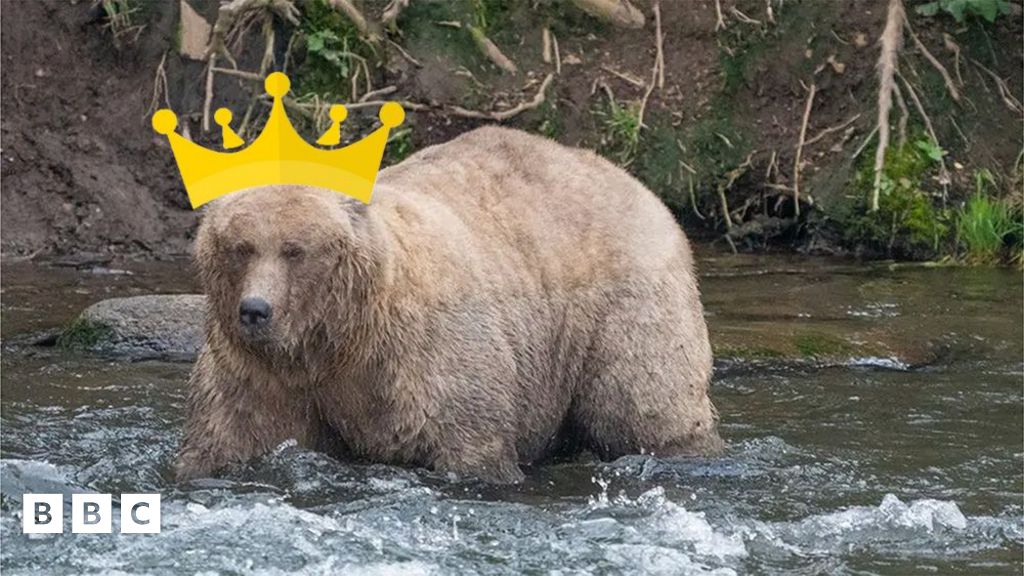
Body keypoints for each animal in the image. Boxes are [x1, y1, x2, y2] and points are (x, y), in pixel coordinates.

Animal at [174, 126, 723, 483]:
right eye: (241, 246)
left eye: (295, 249)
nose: (255, 310)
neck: (338, 337)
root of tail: (636, 184)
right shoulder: (262, 371)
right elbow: (233, 432)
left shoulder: (423, 351)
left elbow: (466, 435)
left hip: (623, 306)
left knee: (644, 403)